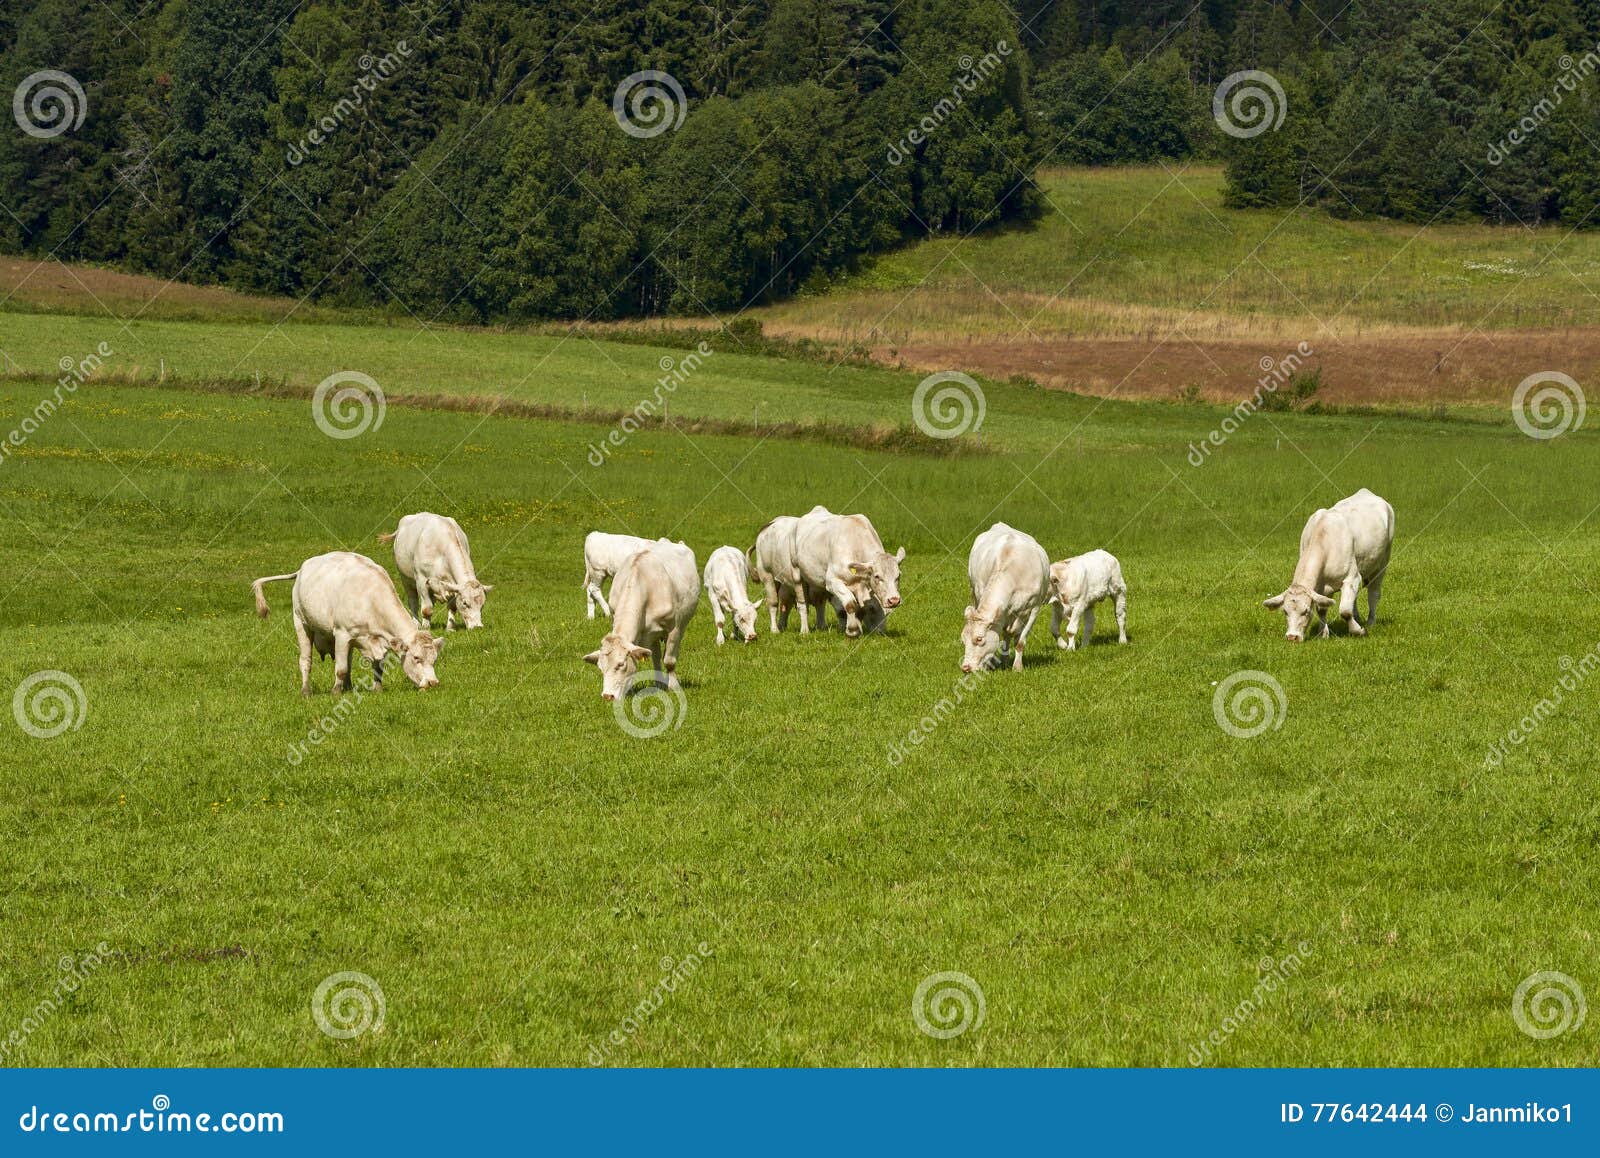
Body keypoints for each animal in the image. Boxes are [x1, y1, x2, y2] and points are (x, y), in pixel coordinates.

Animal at [253, 551, 441, 695]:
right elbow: (341, 668)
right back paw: (306, 690)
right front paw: (335, 691)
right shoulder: (342, 634)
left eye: (434, 659)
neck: (369, 597)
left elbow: (376, 666)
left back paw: (348, 687)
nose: (433, 683)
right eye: (416, 657)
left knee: (347, 660)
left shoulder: (380, 640)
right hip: (301, 622)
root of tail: (302, 569)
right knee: (306, 660)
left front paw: (377, 689)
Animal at [584, 540, 700, 700]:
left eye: (621, 664)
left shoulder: (674, 628)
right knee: (655, 656)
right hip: (653, 634)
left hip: (682, 624)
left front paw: (674, 686)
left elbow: (669, 661)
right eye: (601, 668)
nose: (607, 696)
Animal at [793, 506, 905, 638]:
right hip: (798, 577)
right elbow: (850, 604)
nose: (894, 600)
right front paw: (852, 630)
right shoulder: (833, 581)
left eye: (898, 576)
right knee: (803, 605)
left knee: (820, 603)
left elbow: (862, 609)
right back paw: (804, 631)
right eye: (877, 576)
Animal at [962, 523, 1051, 673]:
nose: (965, 667)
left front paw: (1017, 667)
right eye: (963, 640)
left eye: (979, 639)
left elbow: (1020, 641)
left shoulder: (1034, 609)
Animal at [1264, 488, 1394, 642]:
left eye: (1306, 611)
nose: (1292, 637)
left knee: (1374, 593)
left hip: (1383, 562)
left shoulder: (1352, 577)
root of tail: (1367, 492)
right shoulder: (1322, 586)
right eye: (1285, 611)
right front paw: (1323, 633)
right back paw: (1357, 618)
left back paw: (1370, 622)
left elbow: (1344, 611)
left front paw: (1358, 631)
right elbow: (1322, 608)